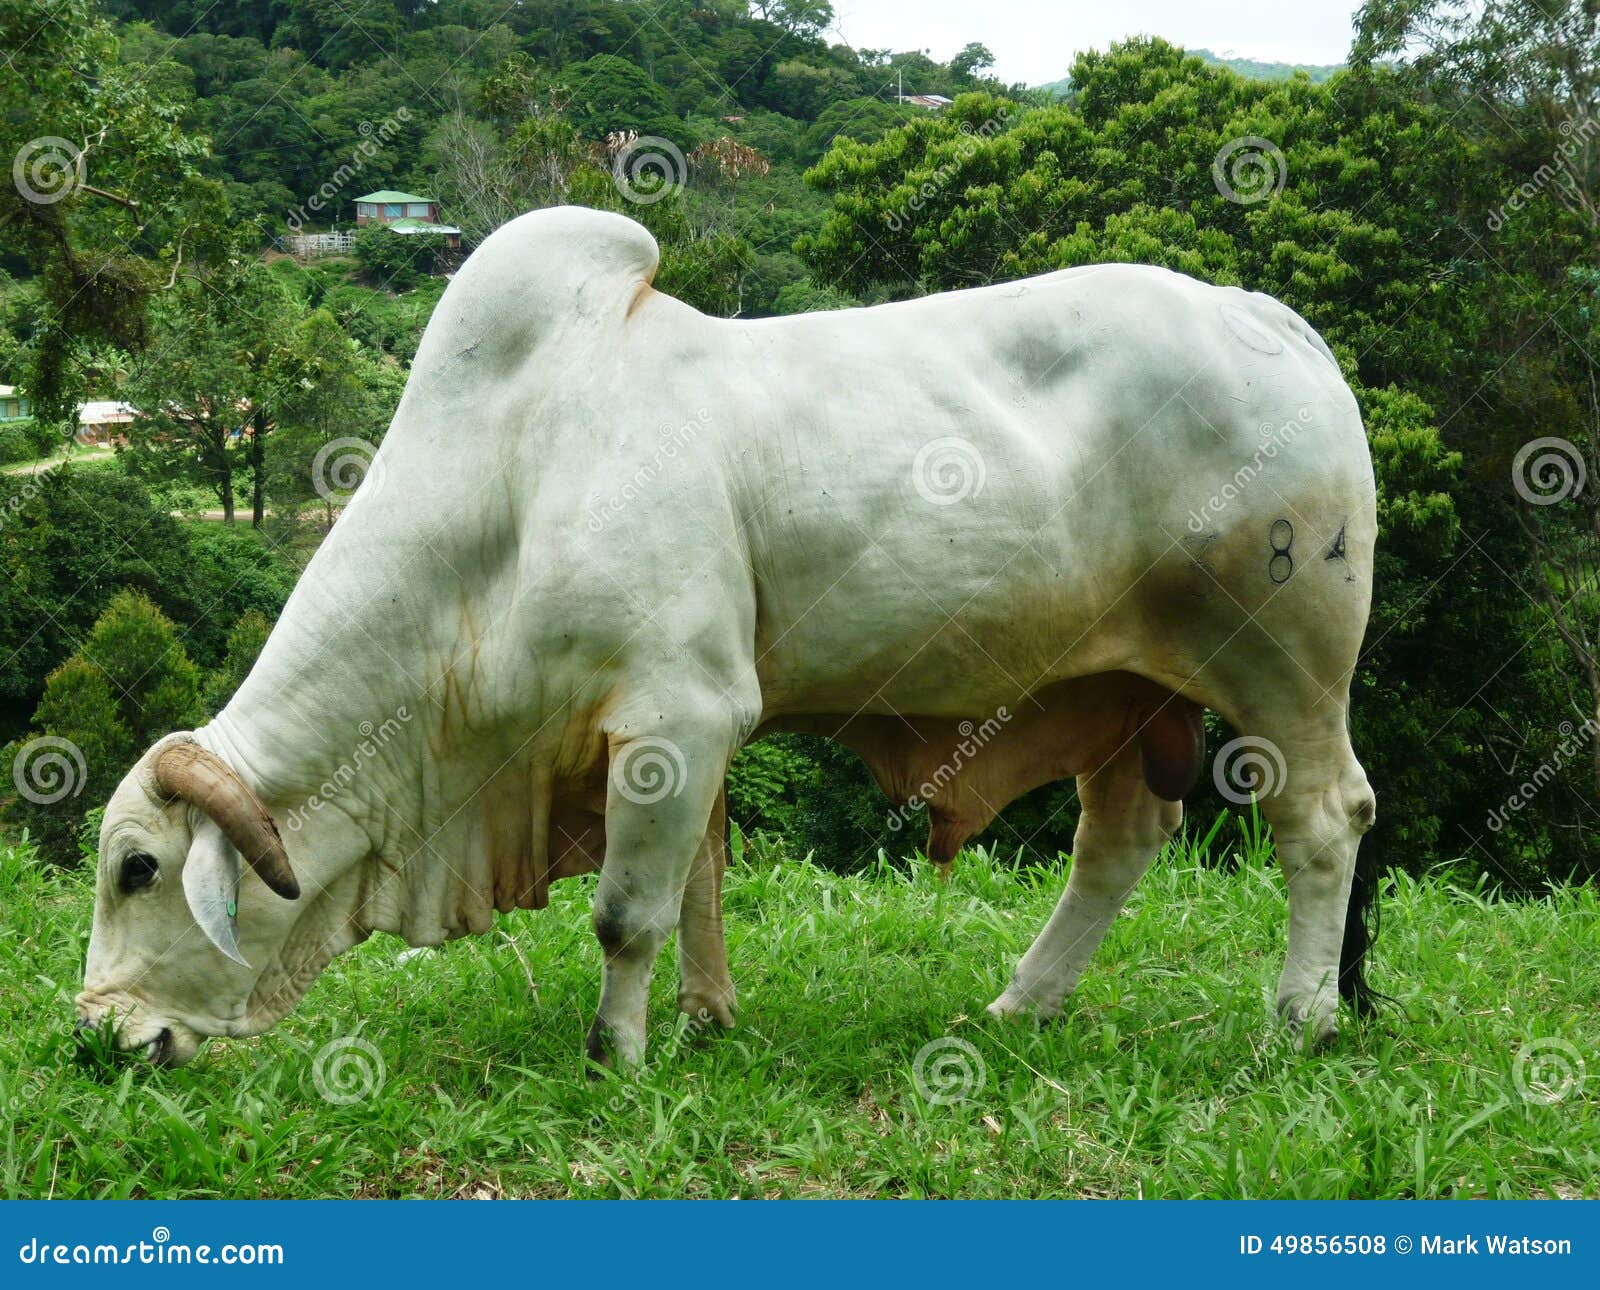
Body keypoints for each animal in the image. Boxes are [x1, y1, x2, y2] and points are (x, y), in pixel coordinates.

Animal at [76, 205, 1378, 1070]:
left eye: (138, 868)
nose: (99, 1038)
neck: (505, 498)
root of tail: (1274, 321)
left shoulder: (678, 714)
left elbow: (626, 909)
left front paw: (616, 1053)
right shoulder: (679, 732)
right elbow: (697, 883)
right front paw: (704, 1021)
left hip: (1286, 663)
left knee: (1323, 819)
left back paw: (1298, 1020)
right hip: (1121, 688)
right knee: (1120, 841)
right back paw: (1022, 1007)